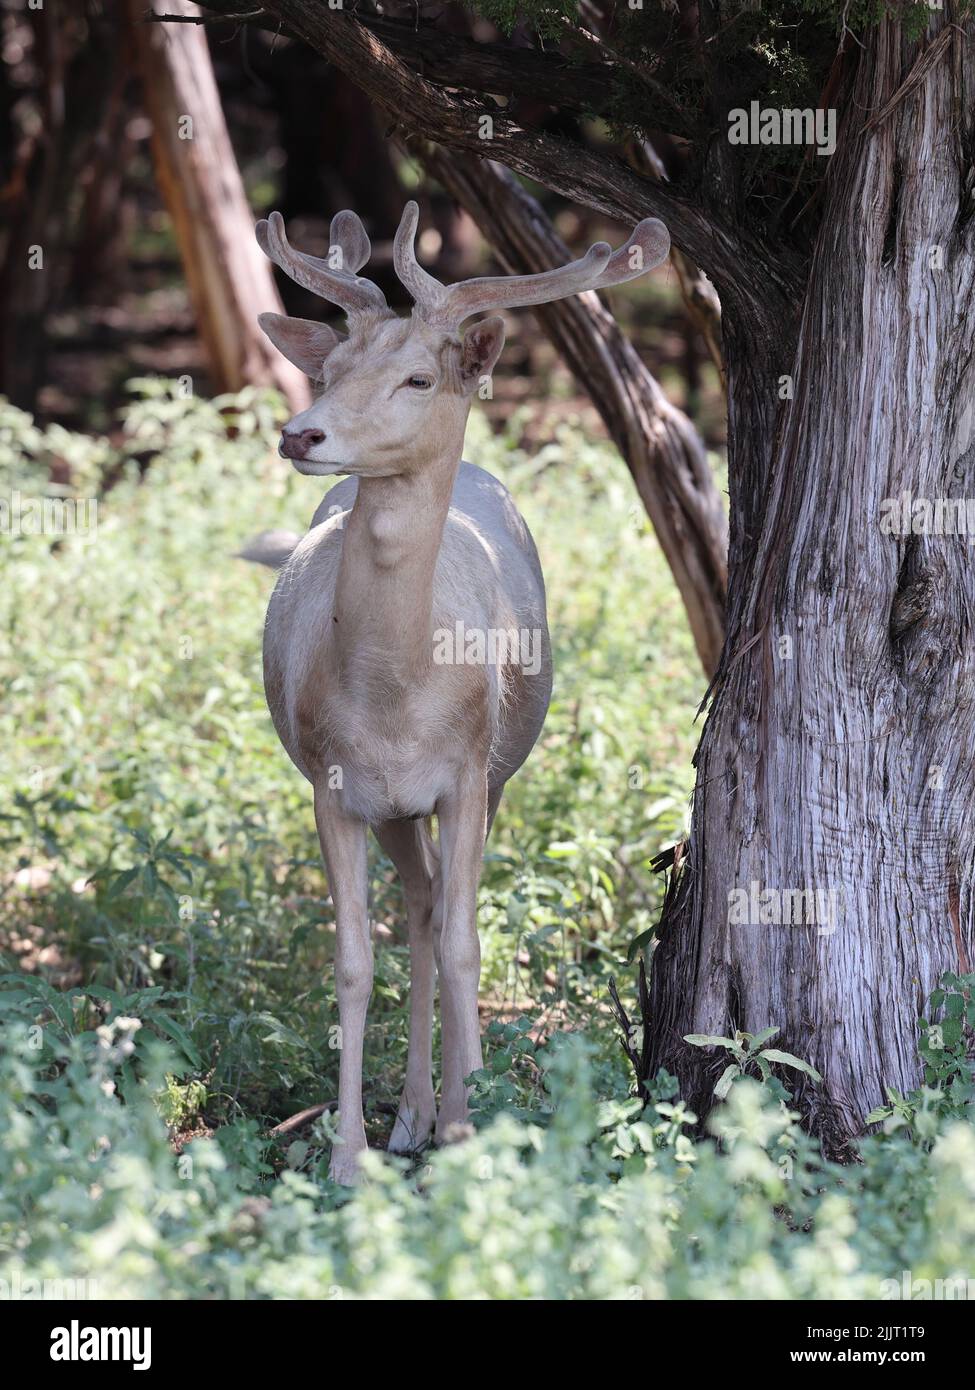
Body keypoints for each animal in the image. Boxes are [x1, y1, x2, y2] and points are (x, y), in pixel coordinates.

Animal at [251, 200, 670, 1183]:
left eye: (416, 378)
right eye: (329, 370)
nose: (301, 433)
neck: (393, 698)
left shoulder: (471, 770)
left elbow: (464, 944)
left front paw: (470, 1129)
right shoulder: (331, 782)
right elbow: (354, 960)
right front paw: (349, 1157)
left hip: (500, 773)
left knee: (449, 911)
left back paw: (450, 1106)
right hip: (396, 812)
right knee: (420, 904)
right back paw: (410, 1117)